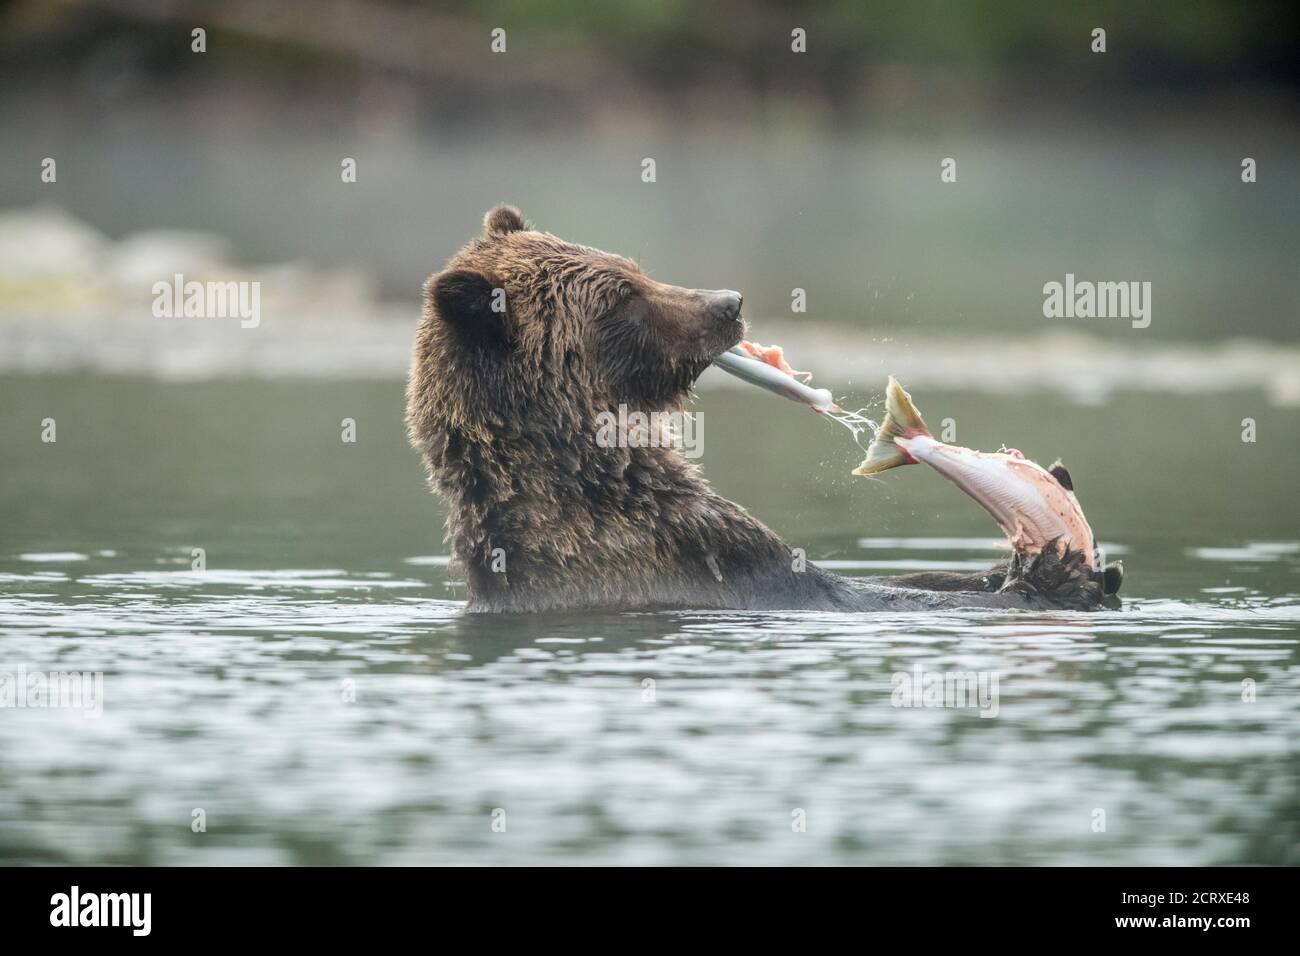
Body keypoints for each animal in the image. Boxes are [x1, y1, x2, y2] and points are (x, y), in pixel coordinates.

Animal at [406, 206, 1107, 612]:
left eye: (633, 268)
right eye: (622, 297)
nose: (728, 302)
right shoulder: (693, 556)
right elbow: (848, 592)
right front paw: (1050, 574)